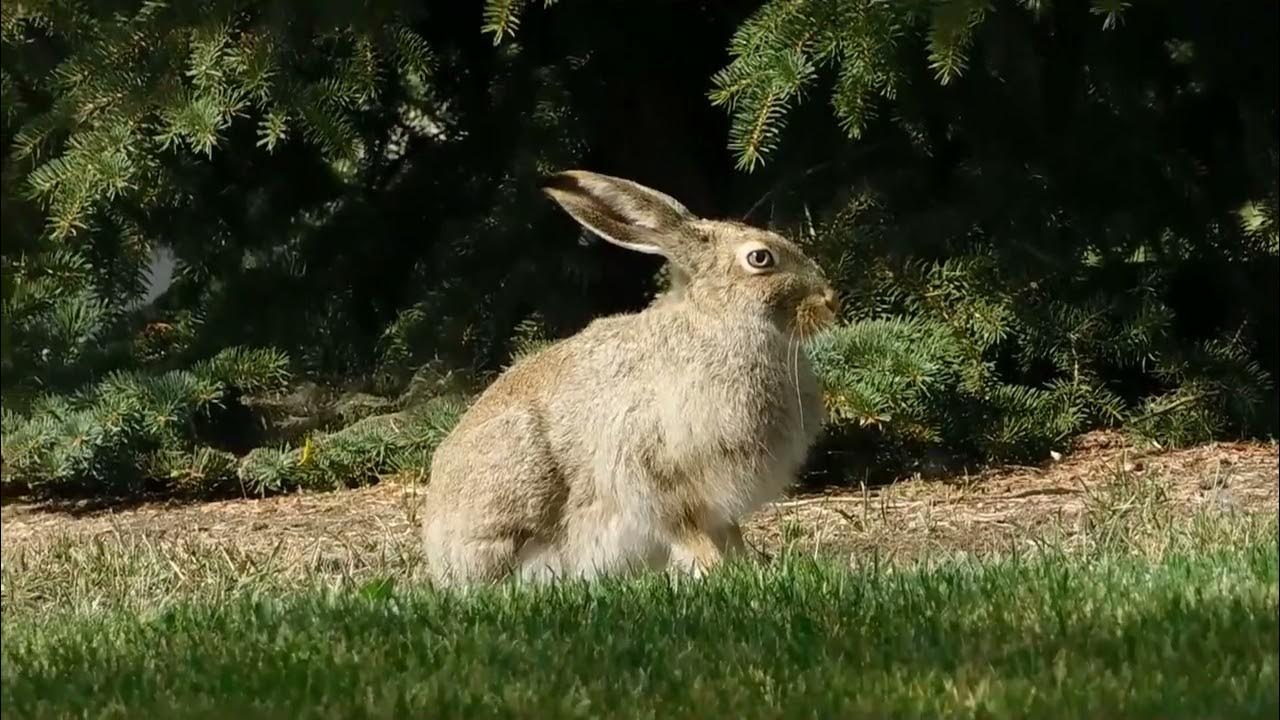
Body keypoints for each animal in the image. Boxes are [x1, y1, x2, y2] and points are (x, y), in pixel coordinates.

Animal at [420, 170, 840, 585]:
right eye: (760, 258)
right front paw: (715, 571)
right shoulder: (651, 474)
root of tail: (438, 550)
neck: (719, 319)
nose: (830, 300)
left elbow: (728, 533)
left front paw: (744, 567)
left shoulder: (716, 506)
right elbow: (684, 532)